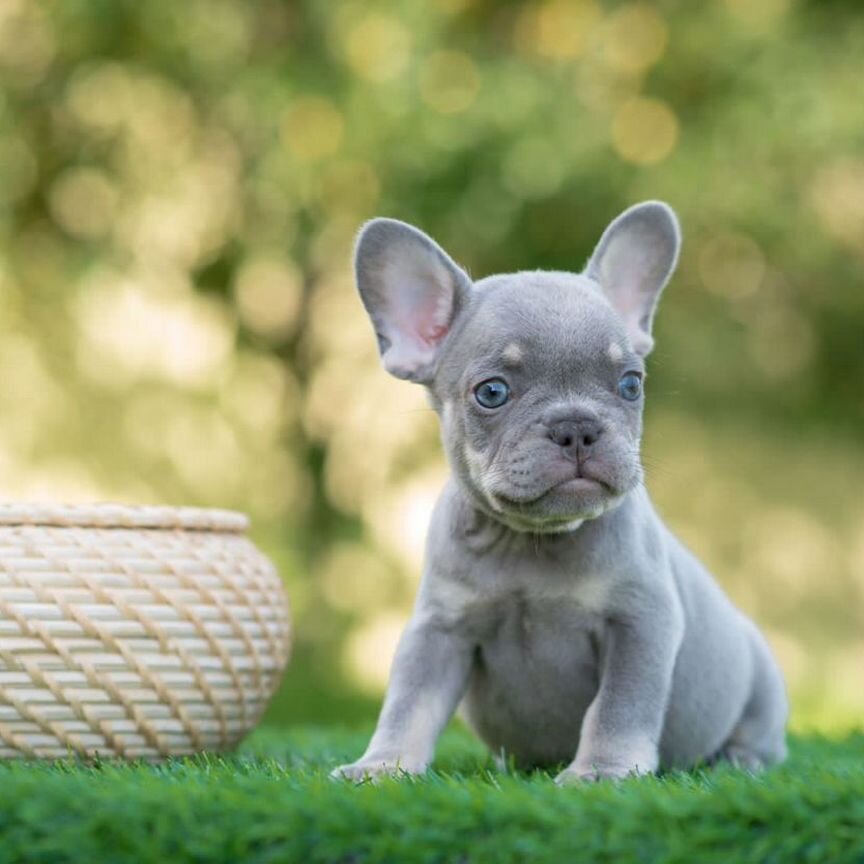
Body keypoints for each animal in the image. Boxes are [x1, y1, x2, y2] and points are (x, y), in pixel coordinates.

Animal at [332, 201, 788, 784]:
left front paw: (603, 770)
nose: (576, 426)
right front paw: (383, 765)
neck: (532, 540)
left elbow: (619, 705)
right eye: (492, 392)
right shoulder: (437, 631)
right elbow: (408, 703)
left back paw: (738, 761)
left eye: (631, 384)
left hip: (762, 686)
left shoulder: (640, 622)